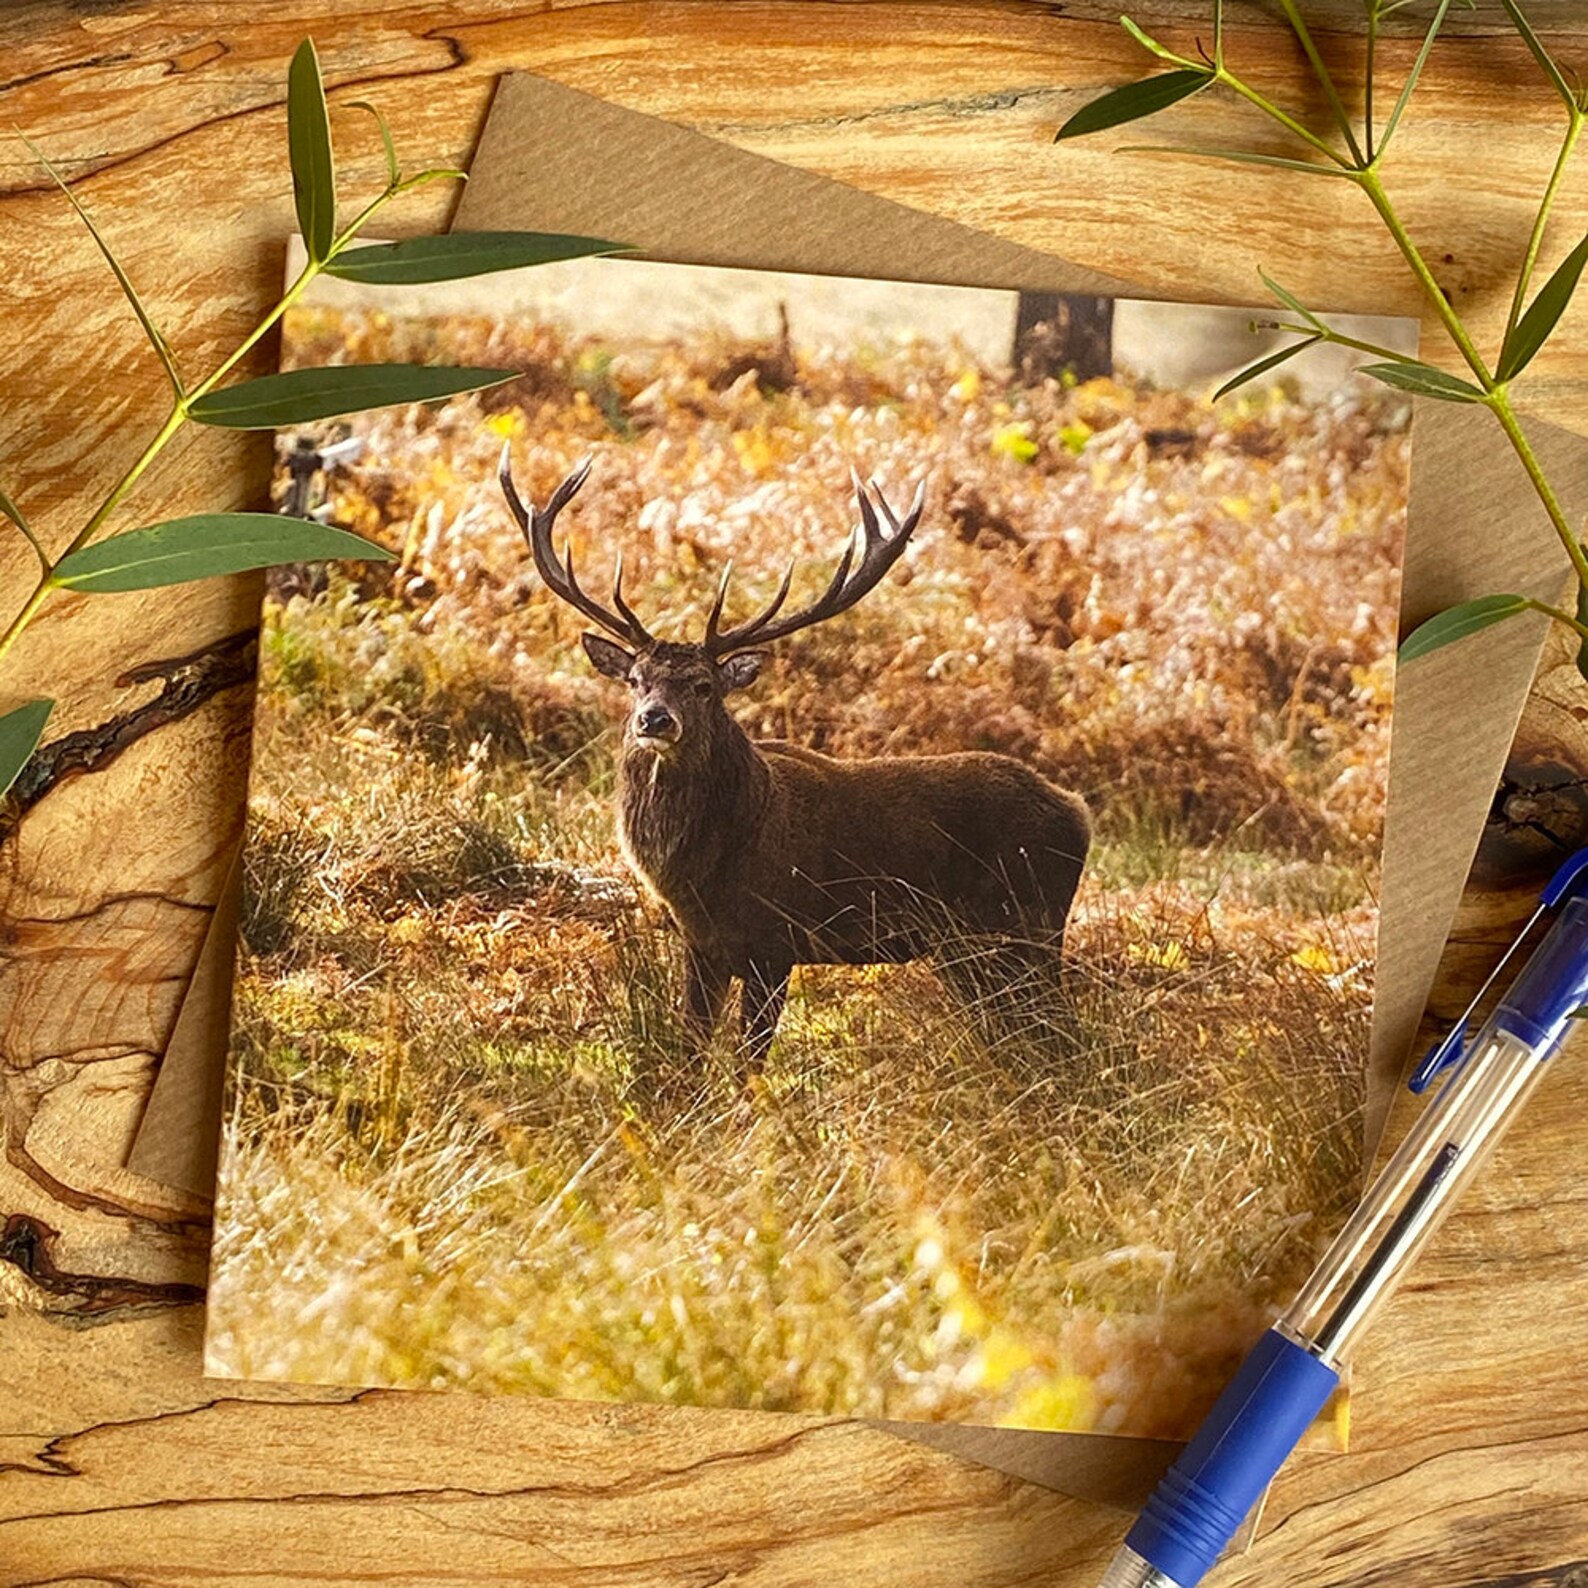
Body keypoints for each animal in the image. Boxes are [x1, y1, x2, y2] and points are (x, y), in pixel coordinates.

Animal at [499, 450, 1091, 1068]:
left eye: (704, 686)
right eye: (636, 680)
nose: (654, 720)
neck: (702, 876)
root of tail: (1078, 813)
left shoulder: (776, 942)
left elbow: (749, 1064)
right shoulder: (701, 948)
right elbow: (690, 1051)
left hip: (1024, 922)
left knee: (1064, 1033)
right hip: (973, 948)